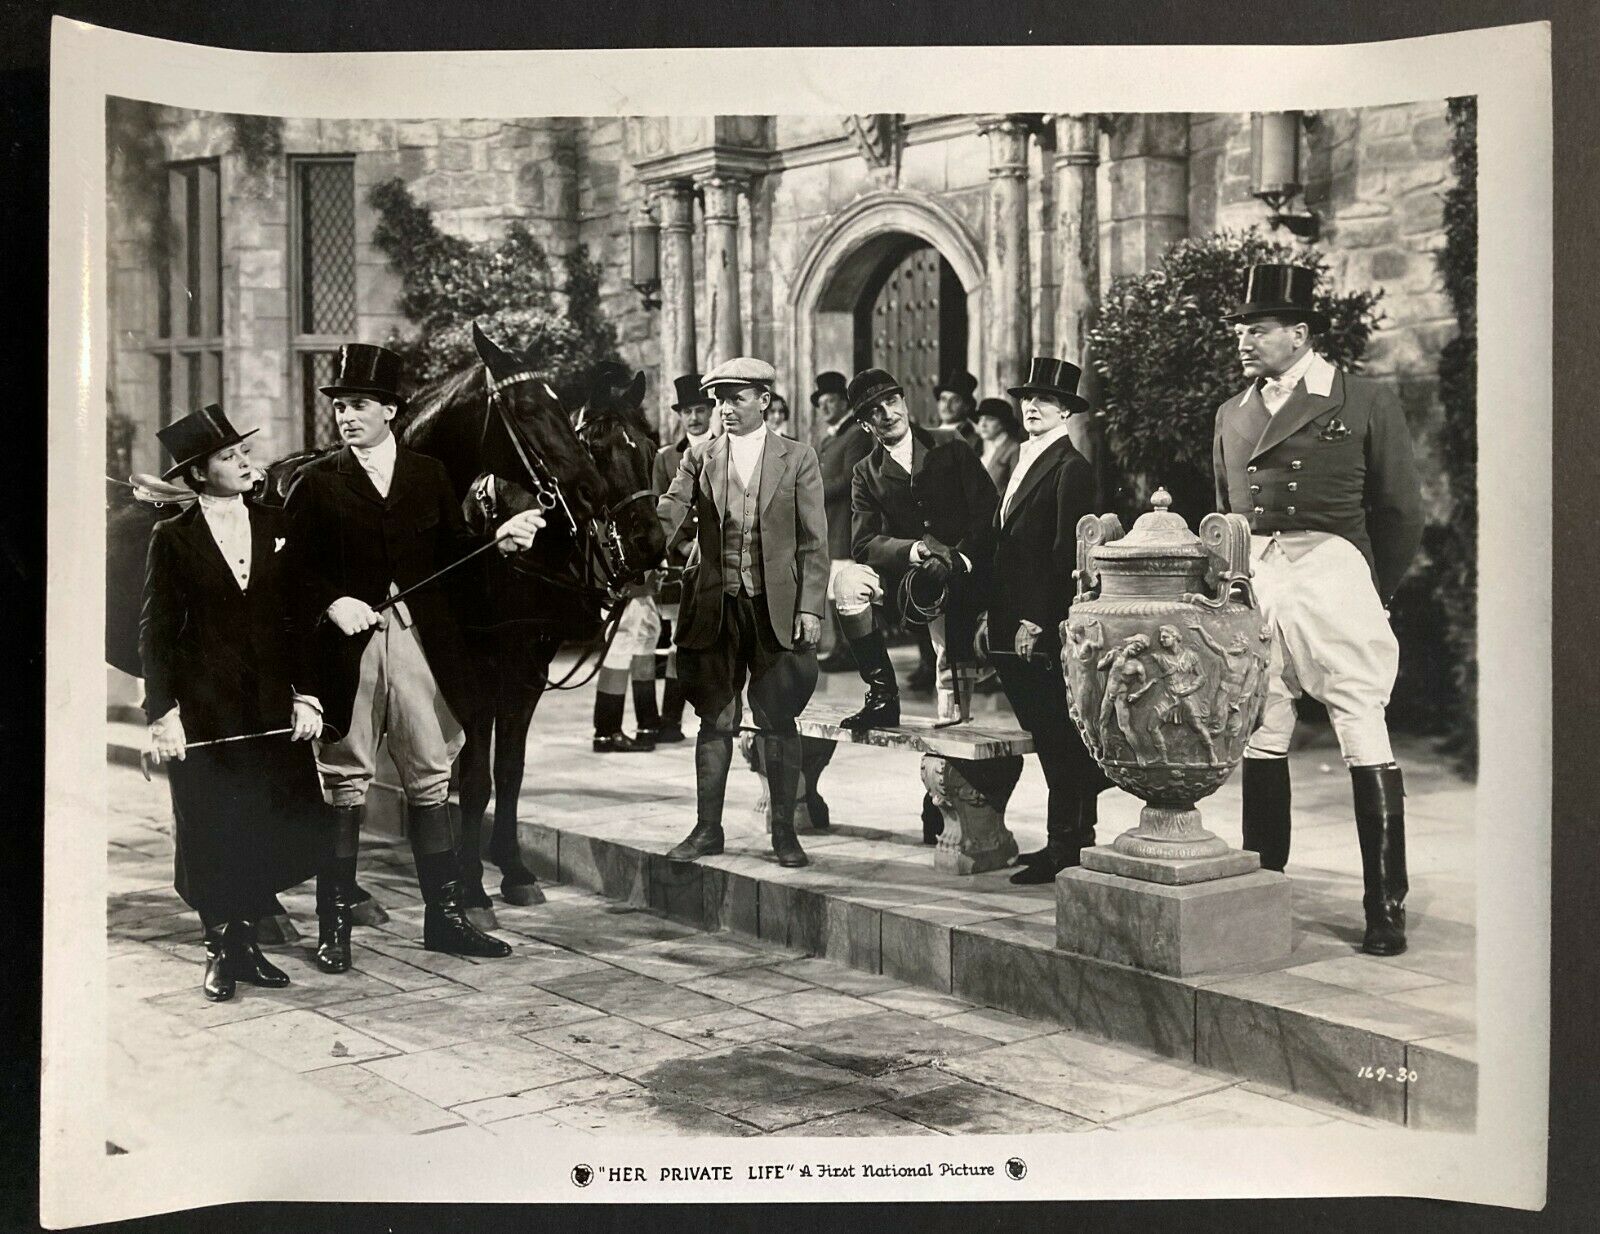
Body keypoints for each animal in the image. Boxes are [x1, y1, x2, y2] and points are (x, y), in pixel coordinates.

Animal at [406, 328, 668, 928]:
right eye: (598, 446)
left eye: (651, 444)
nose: (649, 542)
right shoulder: (475, 666)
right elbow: (475, 777)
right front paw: (471, 887)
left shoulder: (527, 663)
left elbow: (510, 768)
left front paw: (513, 870)